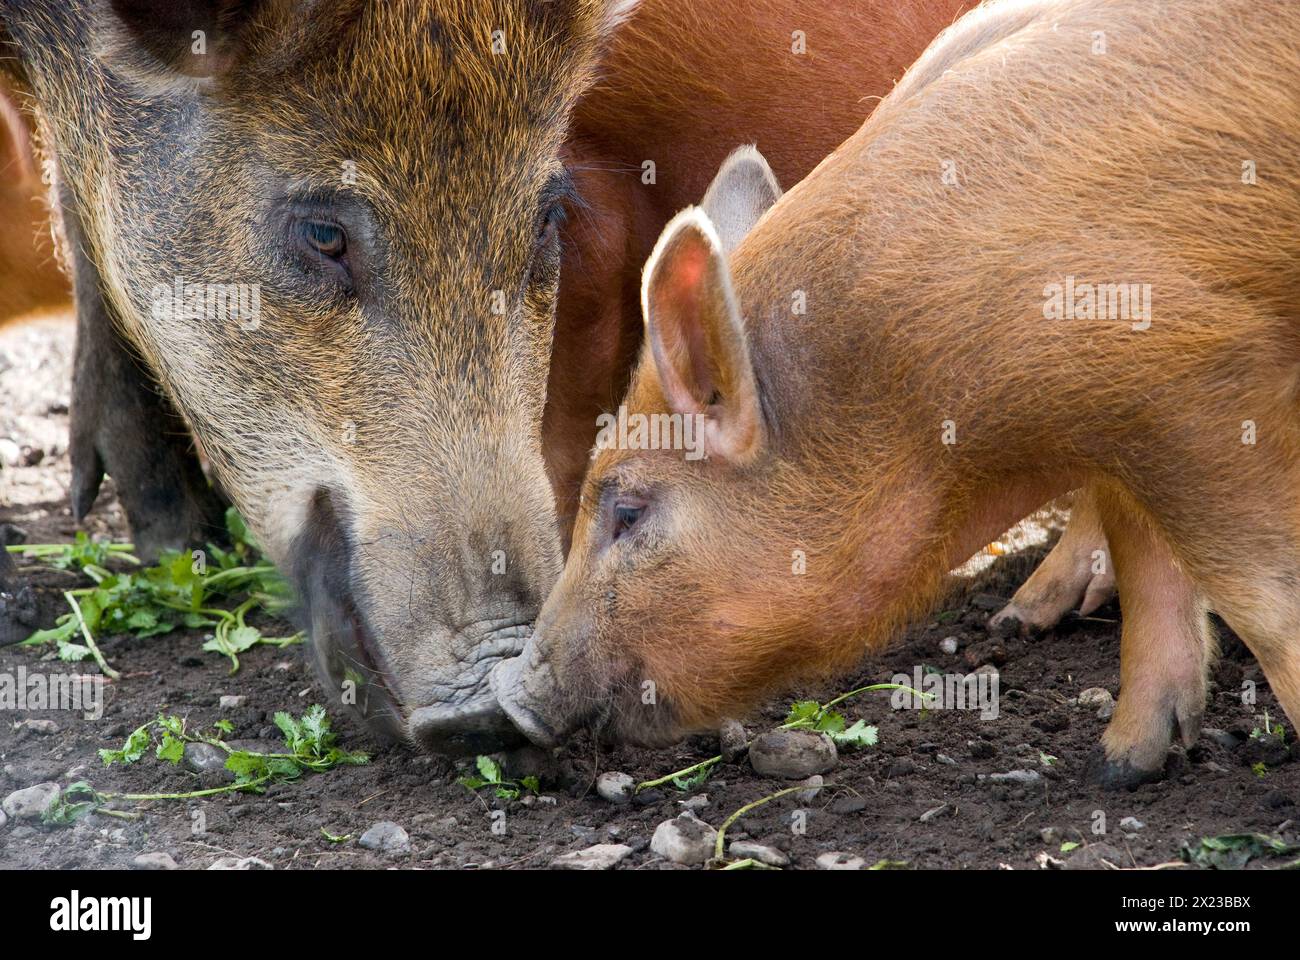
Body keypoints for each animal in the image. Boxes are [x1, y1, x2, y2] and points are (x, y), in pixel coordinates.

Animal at [493, 0, 1300, 788]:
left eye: (628, 510)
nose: (511, 701)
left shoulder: (1194, 377)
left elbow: (1266, 602)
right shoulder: (1123, 418)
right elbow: (1148, 556)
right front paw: (1120, 767)